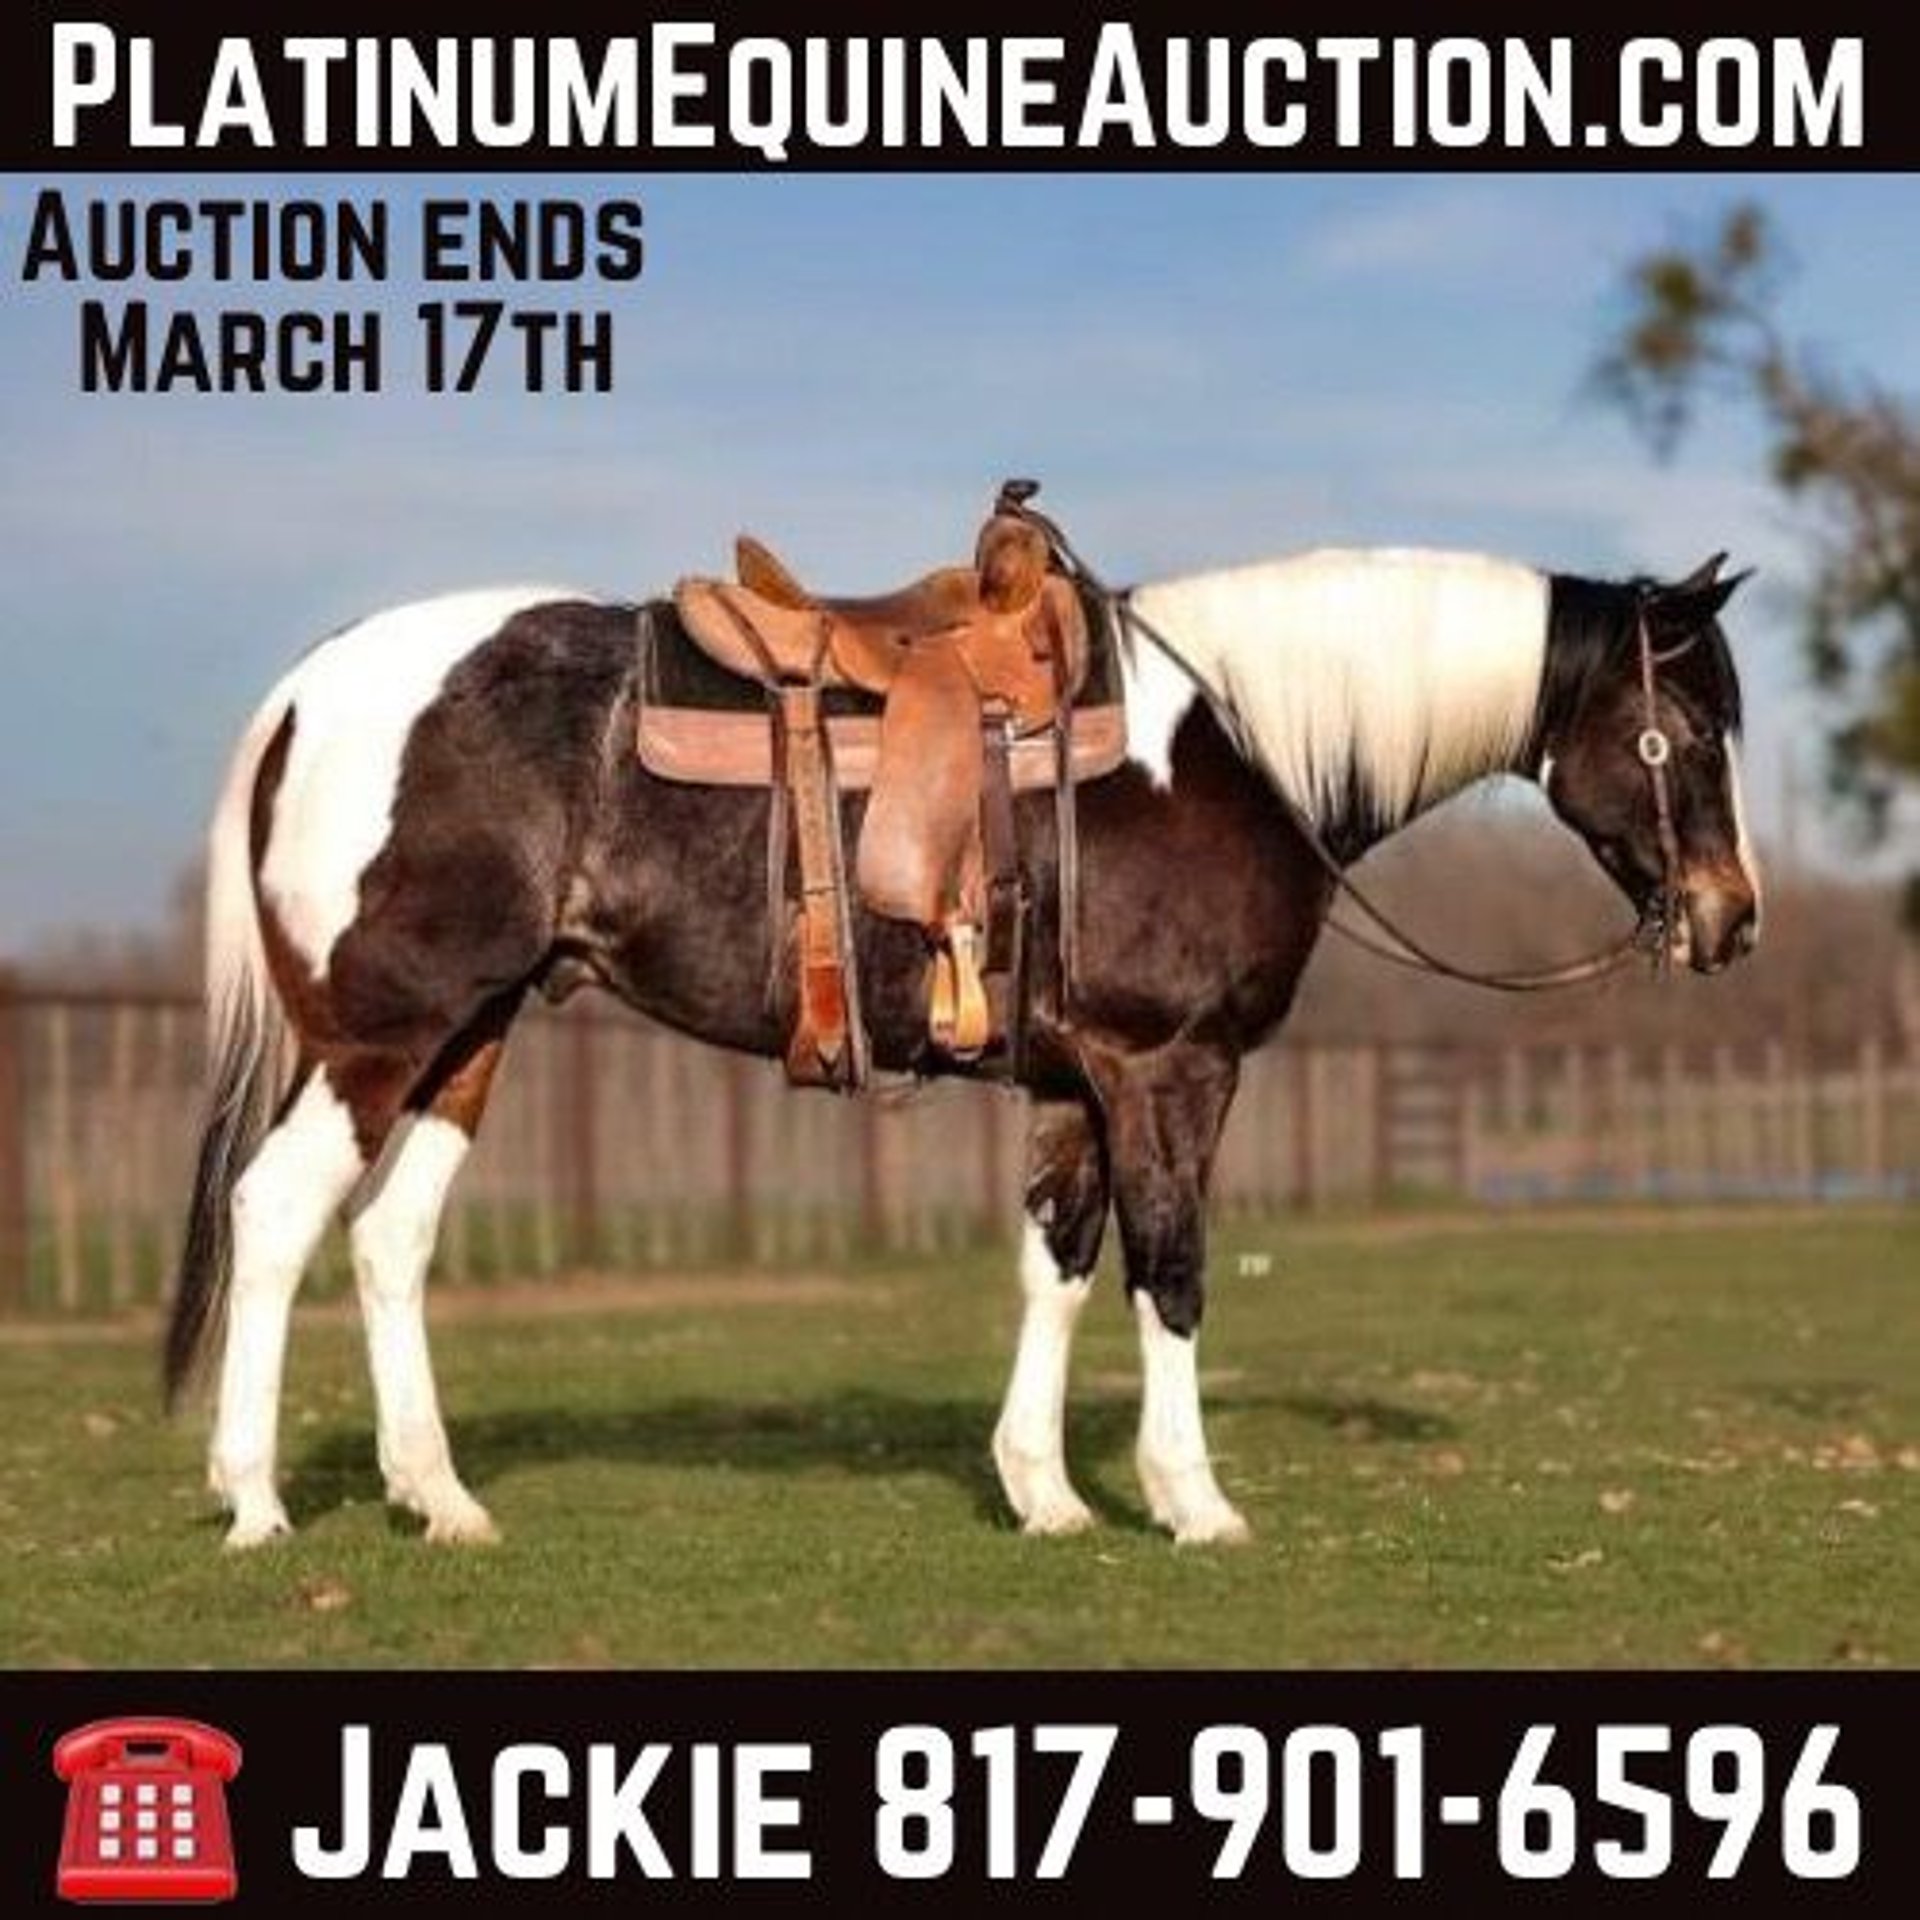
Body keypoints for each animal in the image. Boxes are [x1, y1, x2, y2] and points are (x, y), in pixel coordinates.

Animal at [164, 532, 1759, 1549]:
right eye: (1687, 725)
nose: (1730, 918)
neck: (1235, 746)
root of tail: (314, 688)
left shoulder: (1074, 1083)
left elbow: (1058, 1268)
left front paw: (1045, 1494)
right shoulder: (1169, 1068)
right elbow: (1171, 1271)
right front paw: (1194, 1503)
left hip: (471, 1038)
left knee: (388, 1240)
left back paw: (440, 1502)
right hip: (383, 1033)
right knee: (278, 1213)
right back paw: (255, 1501)